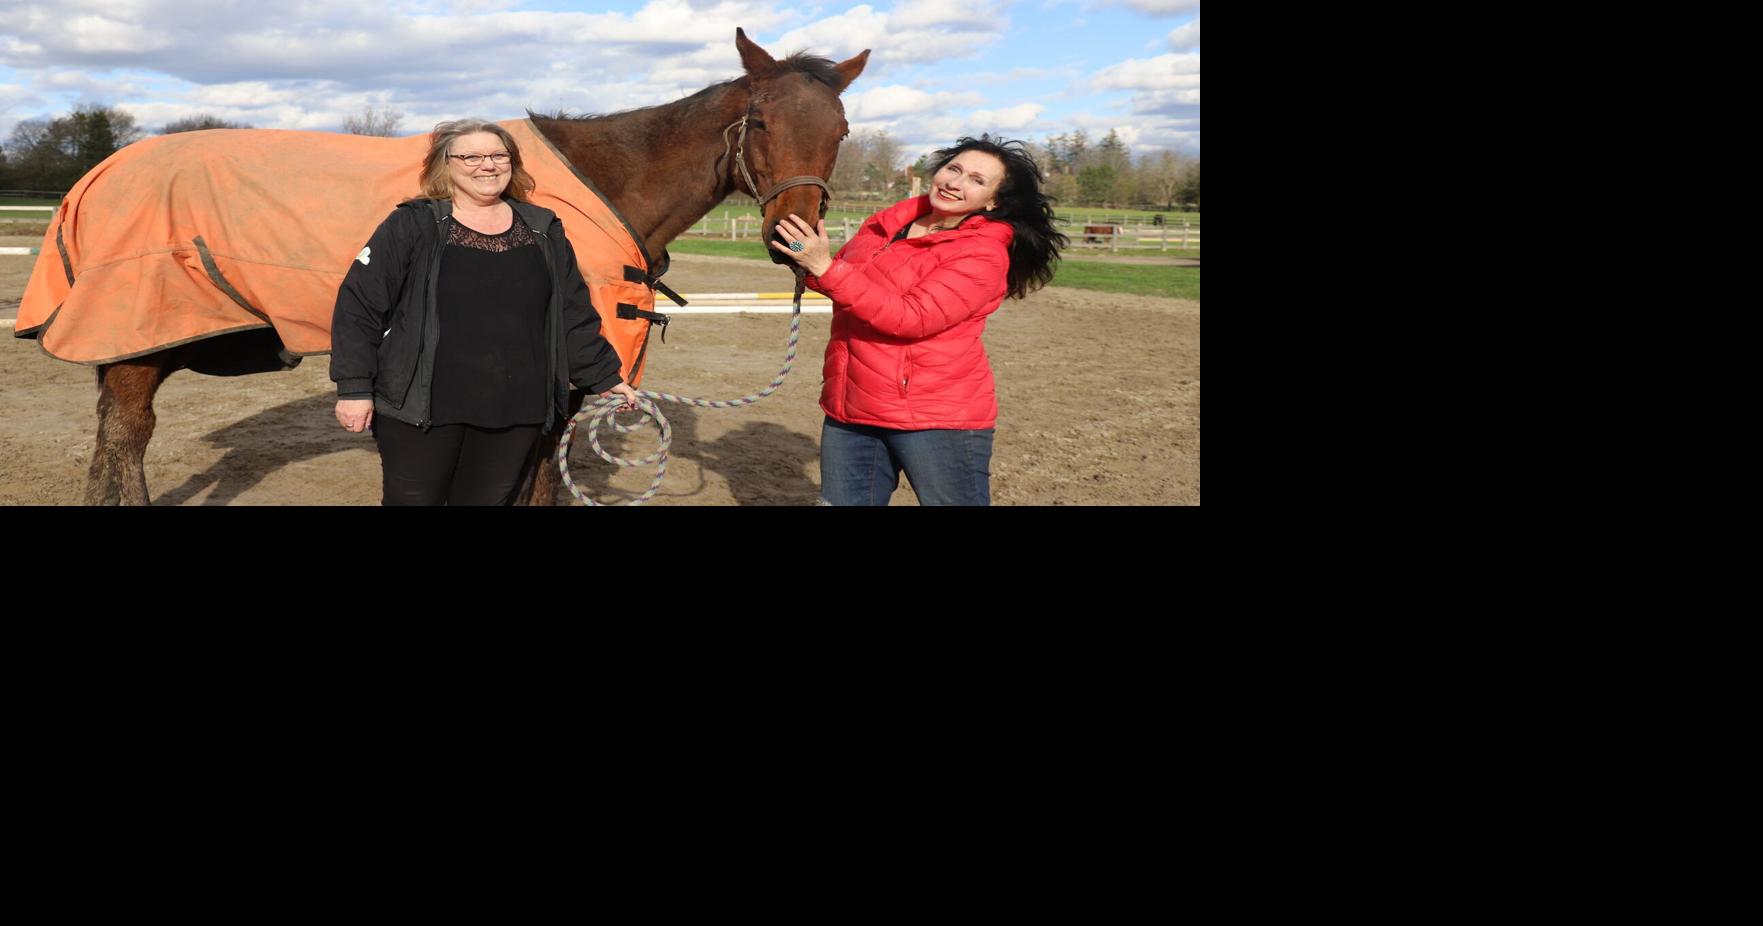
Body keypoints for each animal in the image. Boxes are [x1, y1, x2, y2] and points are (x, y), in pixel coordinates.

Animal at [49, 28, 867, 505]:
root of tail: (100, 174)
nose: (795, 239)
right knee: (128, 437)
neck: (602, 184)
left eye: (840, 130)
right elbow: (537, 483)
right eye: (761, 121)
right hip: (140, 336)